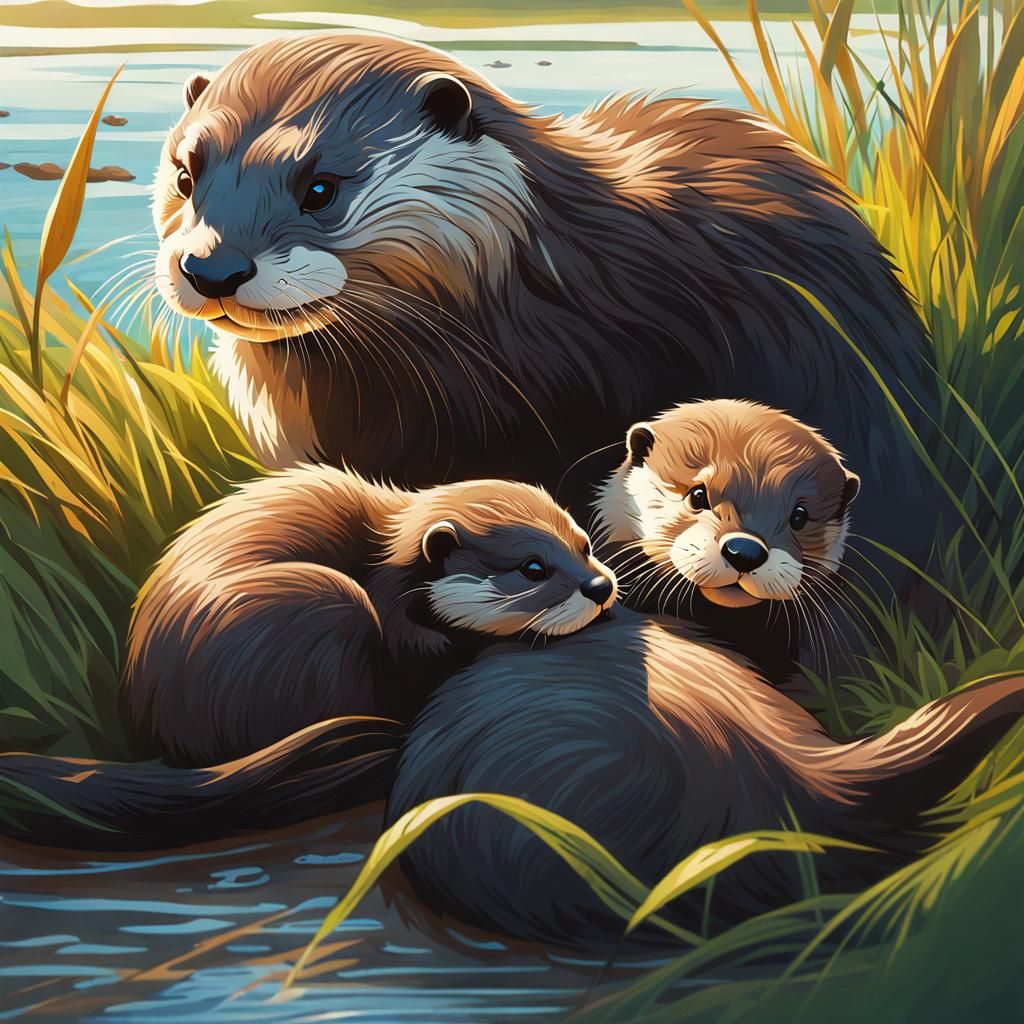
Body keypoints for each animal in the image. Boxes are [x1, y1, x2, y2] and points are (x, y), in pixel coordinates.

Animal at [124, 465, 616, 766]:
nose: (600, 588)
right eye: (533, 568)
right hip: (325, 602)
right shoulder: (392, 616)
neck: (385, 570)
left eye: (584, 544)